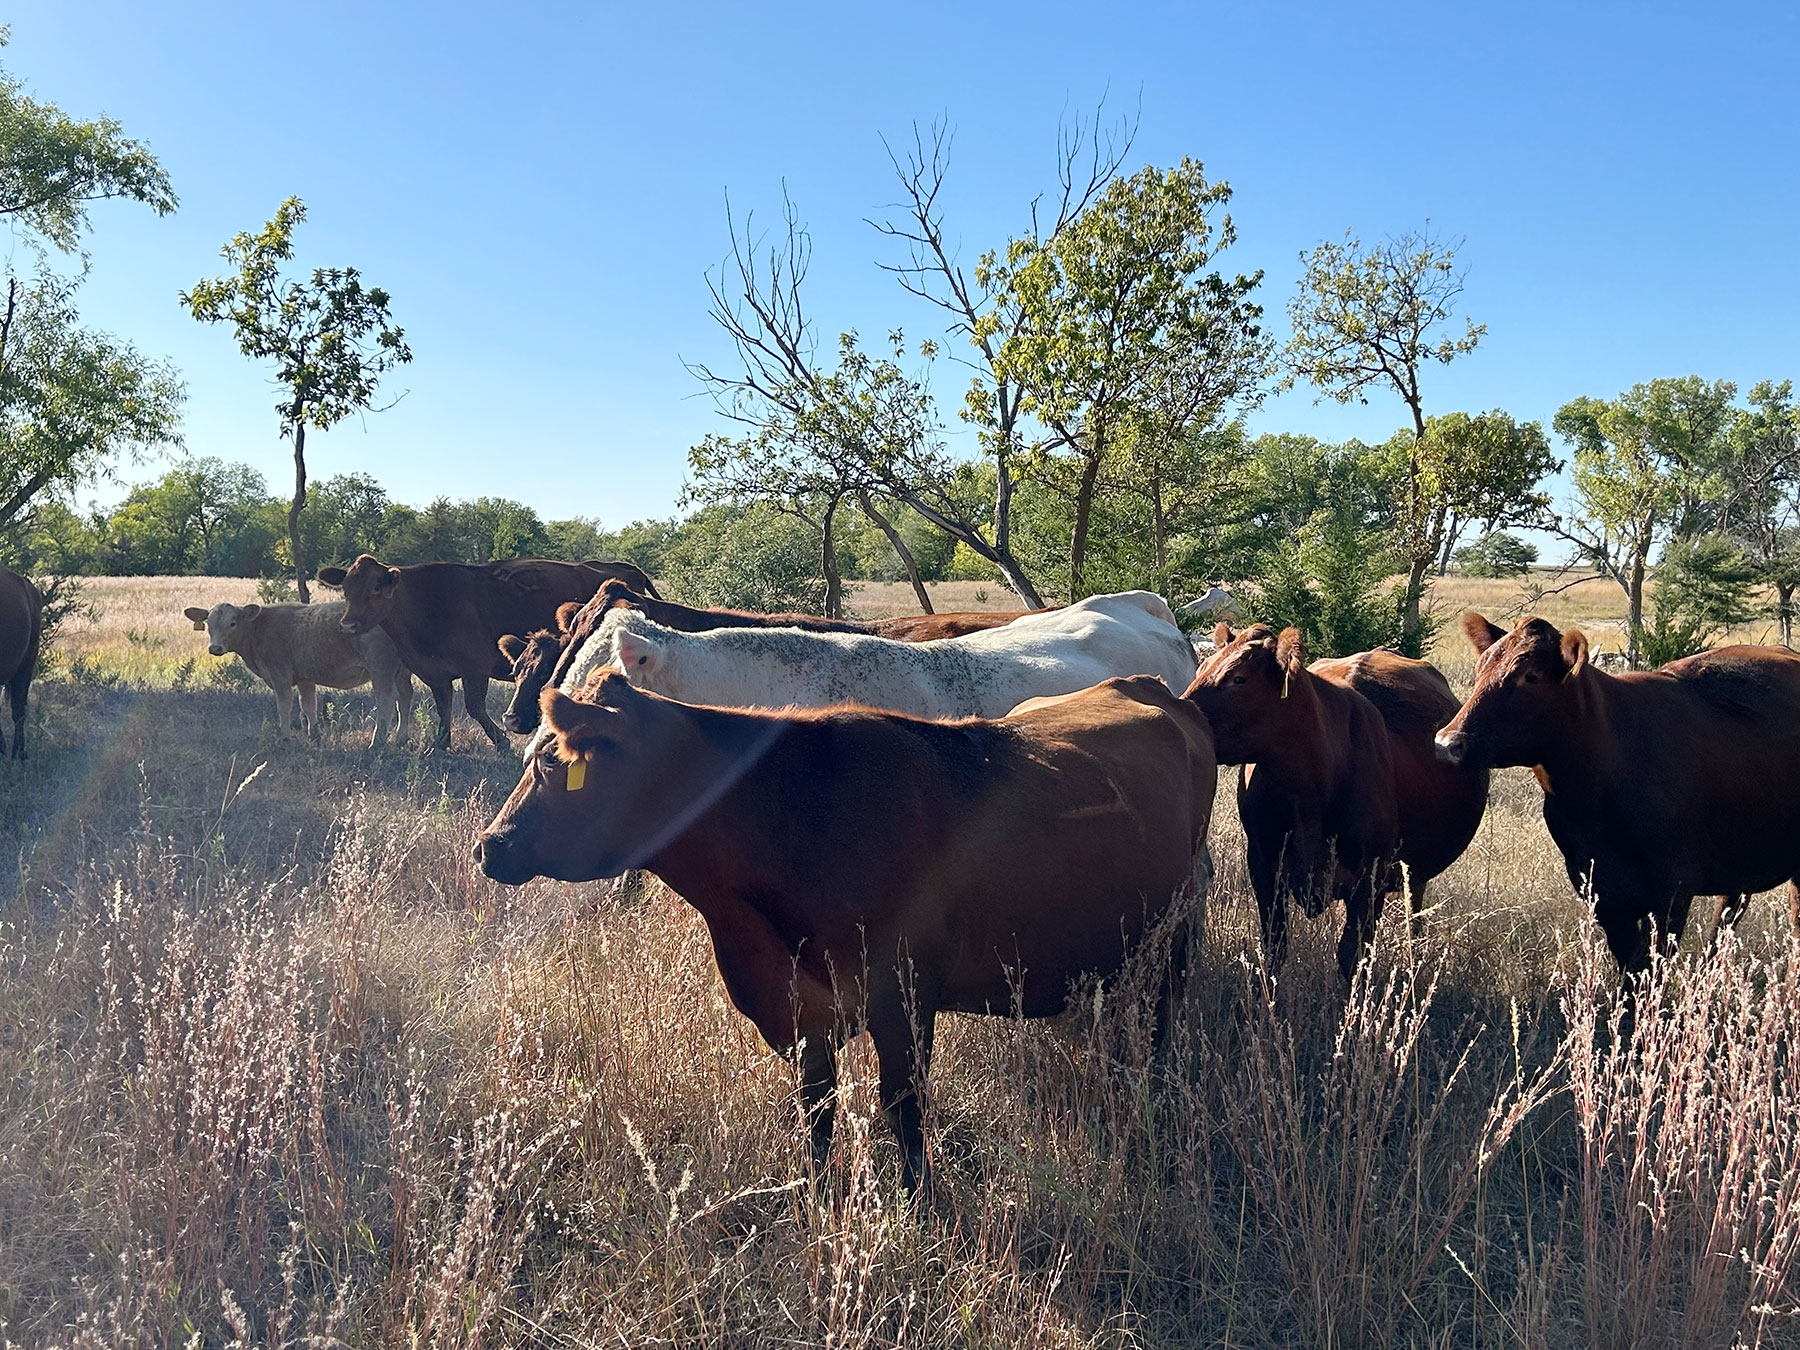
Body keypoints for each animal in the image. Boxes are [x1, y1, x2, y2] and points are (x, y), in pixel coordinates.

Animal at [183, 600, 415, 746]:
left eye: (232, 623)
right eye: (208, 624)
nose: (215, 648)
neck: (258, 630)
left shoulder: (280, 674)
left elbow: (284, 706)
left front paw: (285, 738)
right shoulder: (305, 677)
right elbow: (309, 705)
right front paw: (314, 736)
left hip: (381, 666)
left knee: (386, 699)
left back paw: (377, 742)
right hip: (402, 670)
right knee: (405, 697)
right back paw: (400, 738)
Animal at [315, 555, 639, 750]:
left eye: (376, 589)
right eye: (346, 589)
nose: (347, 624)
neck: (425, 604)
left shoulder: (475, 668)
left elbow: (474, 707)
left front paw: (501, 741)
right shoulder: (434, 672)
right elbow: (444, 706)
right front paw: (441, 743)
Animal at [475, 671, 1217, 1195]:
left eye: (548, 763)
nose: (488, 846)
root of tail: (1151, 686)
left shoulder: (902, 993)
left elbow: (905, 1108)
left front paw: (920, 1206)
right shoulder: (797, 1011)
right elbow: (817, 1109)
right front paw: (815, 1195)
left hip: (1182, 918)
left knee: (1164, 1011)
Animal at [1185, 624, 1488, 983]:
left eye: (1239, 678)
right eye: (1201, 668)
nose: (1182, 708)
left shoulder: (1370, 877)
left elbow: (1352, 957)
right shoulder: (1263, 865)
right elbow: (1274, 948)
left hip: (1413, 870)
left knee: (1415, 915)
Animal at [1435, 613, 1800, 976]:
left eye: (1531, 675)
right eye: (1480, 668)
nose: (1447, 742)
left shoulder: (1671, 892)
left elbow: (1648, 972)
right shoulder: (1600, 891)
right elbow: (1631, 971)